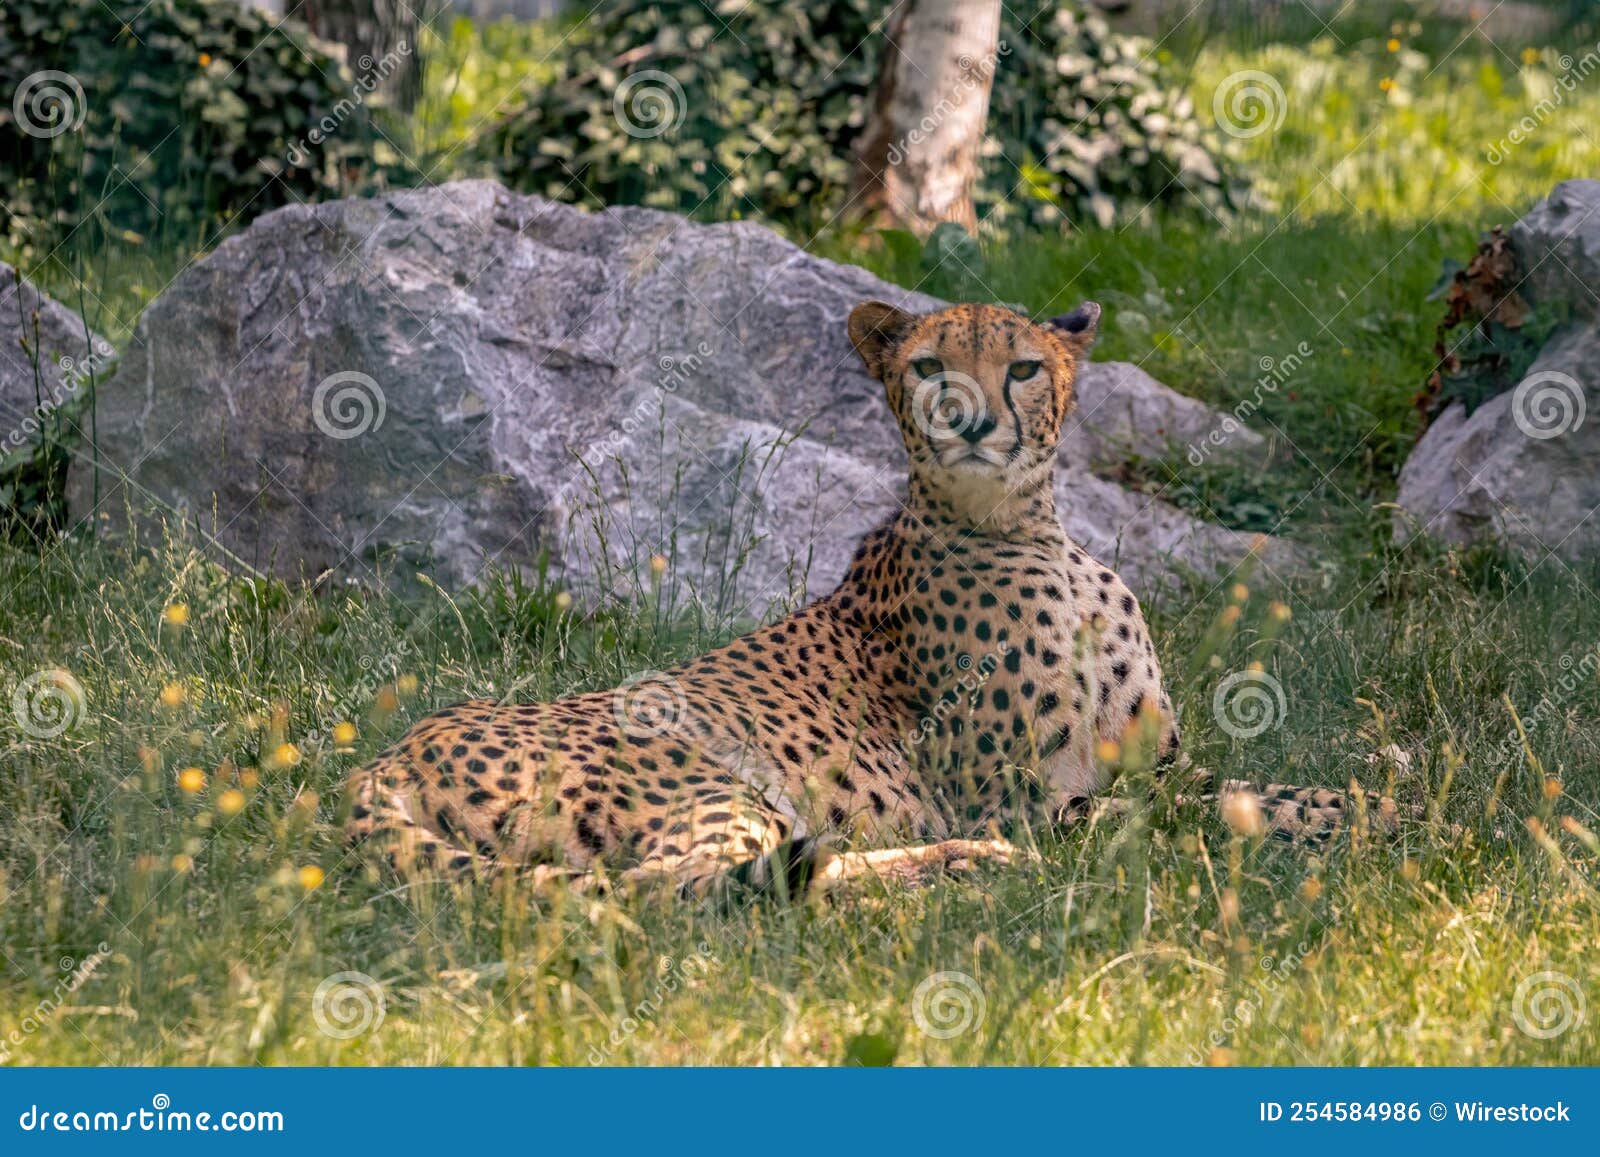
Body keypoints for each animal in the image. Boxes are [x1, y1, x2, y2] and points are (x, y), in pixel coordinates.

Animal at [345, 299, 1397, 896]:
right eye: (929, 366)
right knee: (670, 890)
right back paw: (954, 872)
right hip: (713, 781)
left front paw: (1384, 783)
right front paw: (1375, 811)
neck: (1023, 529)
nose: (967, 418)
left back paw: (956, 870)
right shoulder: (1031, 803)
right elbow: (1203, 810)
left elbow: (1244, 783)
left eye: (1022, 367)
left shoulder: (1146, 764)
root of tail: (391, 750)